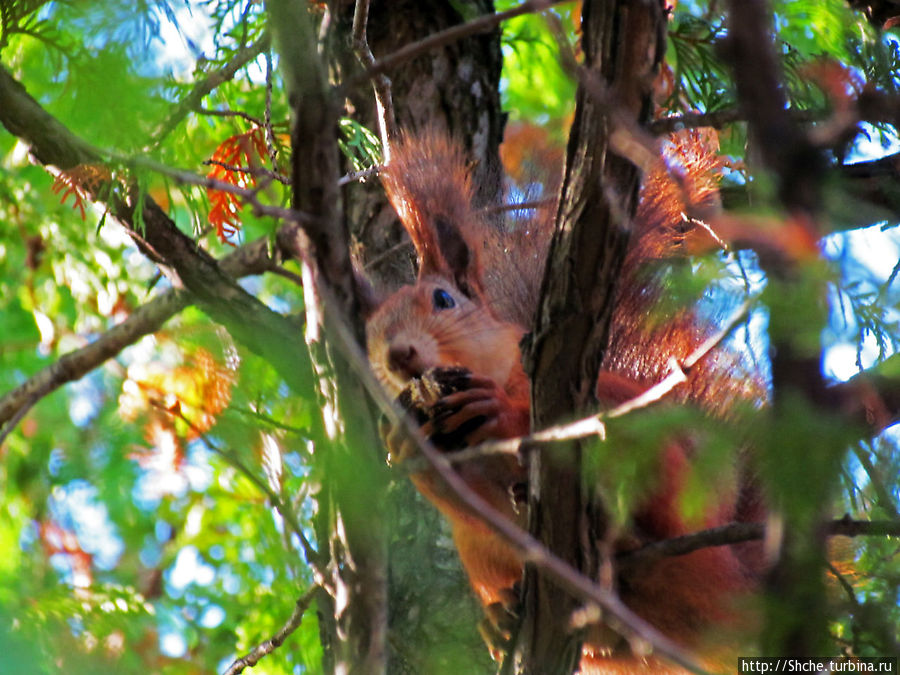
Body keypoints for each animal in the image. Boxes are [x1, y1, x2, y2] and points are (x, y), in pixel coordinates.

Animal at [366, 127, 768, 672]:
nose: (399, 355)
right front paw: (404, 444)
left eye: (443, 300)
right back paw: (504, 620)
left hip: (663, 477)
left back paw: (611, 531)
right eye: (369, 339)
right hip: (484, 560)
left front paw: (499, 412)